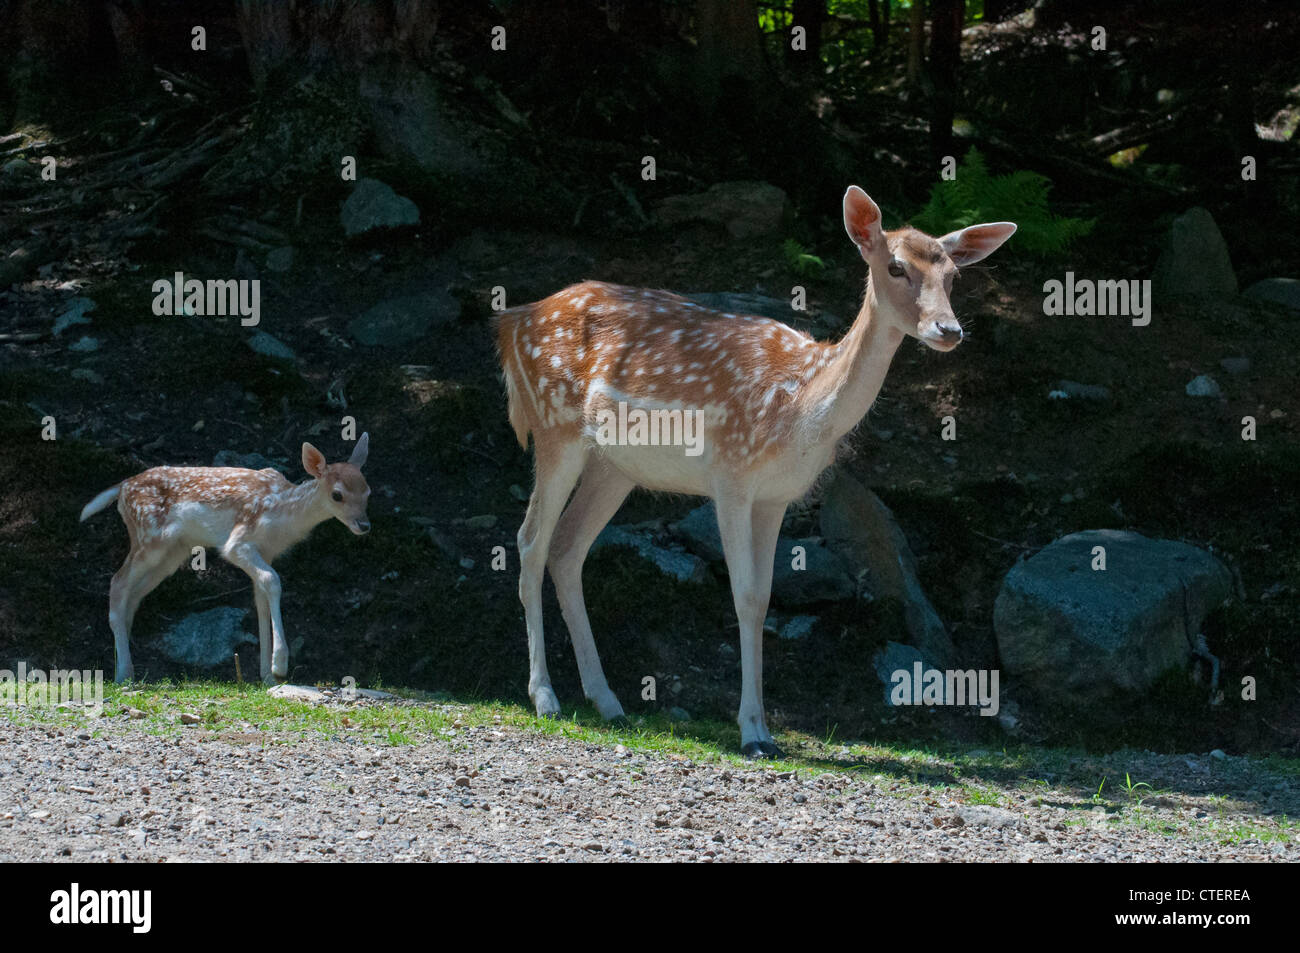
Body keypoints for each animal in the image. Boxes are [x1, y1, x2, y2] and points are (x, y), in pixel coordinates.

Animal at [79, 434, 372, 684]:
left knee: (133, 594)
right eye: (337, 494)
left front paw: (266, 675)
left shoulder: (266, 551)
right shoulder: (238, 543)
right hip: (149, 535)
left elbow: (260, 600)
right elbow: (272, 580)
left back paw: (125, 665)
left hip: (170, 553)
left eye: (368, 491)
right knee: (117, 582)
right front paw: (279, 666)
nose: (364, 525)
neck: (283, 514)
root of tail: (121, 488)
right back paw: (123, 674)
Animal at [495, 185, 1015, 757]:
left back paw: (607, 700)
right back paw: (545, 696)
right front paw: (750, 732)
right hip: (554, 427)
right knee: (530, 540)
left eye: (954, 275)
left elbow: (765, 599)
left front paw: (765, 728)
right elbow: (743, 595)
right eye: (895, 266)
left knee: (568, 547)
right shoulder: (731, 476)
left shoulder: (776, 496)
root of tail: (511, 323)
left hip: (614, 466)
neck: (802, 410)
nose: (949, 330)